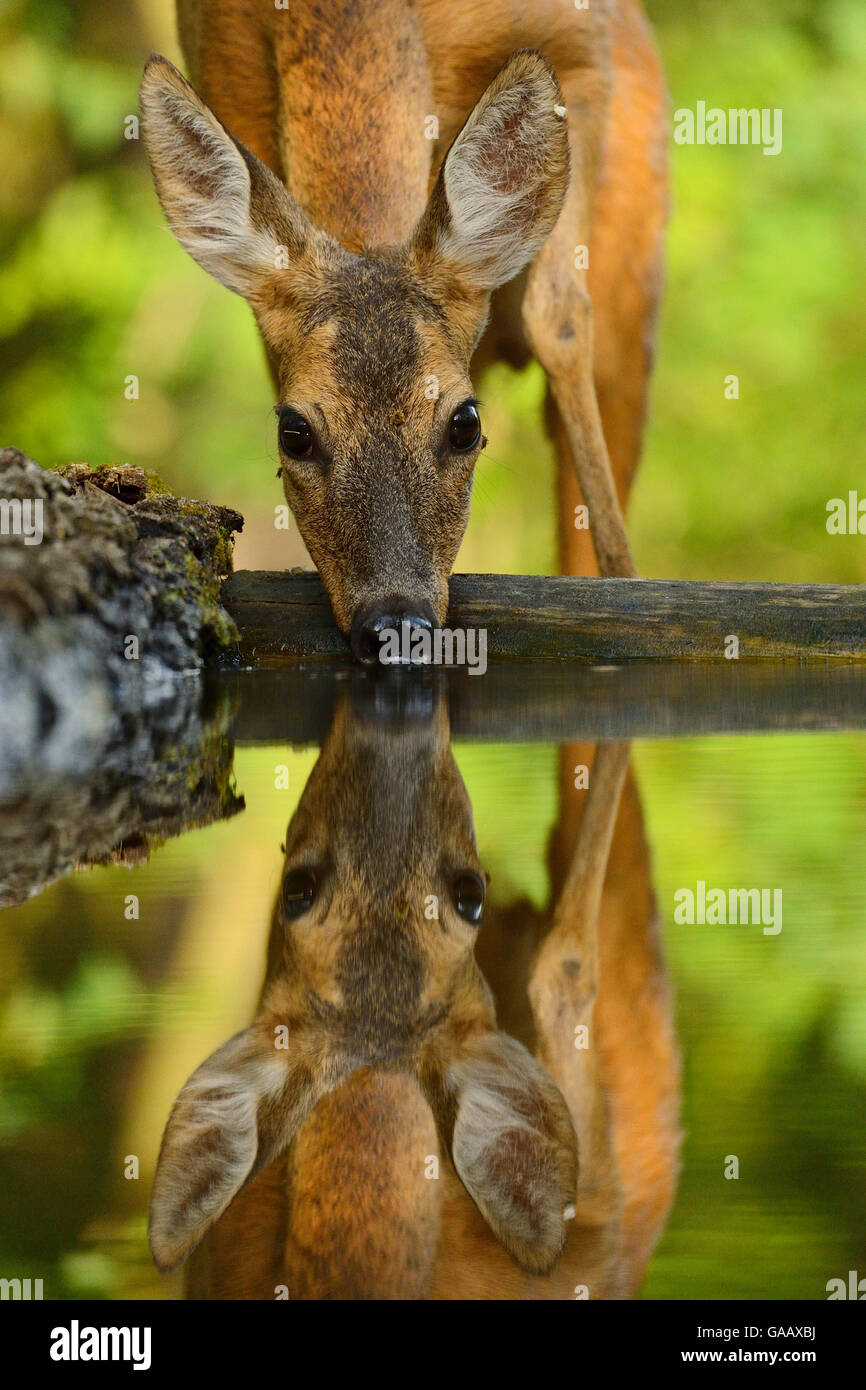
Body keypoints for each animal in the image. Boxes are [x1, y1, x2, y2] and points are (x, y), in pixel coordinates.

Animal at [139, 0, 668, 663]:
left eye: (465, 423)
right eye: (294, 432)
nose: (396, 623)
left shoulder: (578, 50)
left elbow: (560, 320)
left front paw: (626, 583)